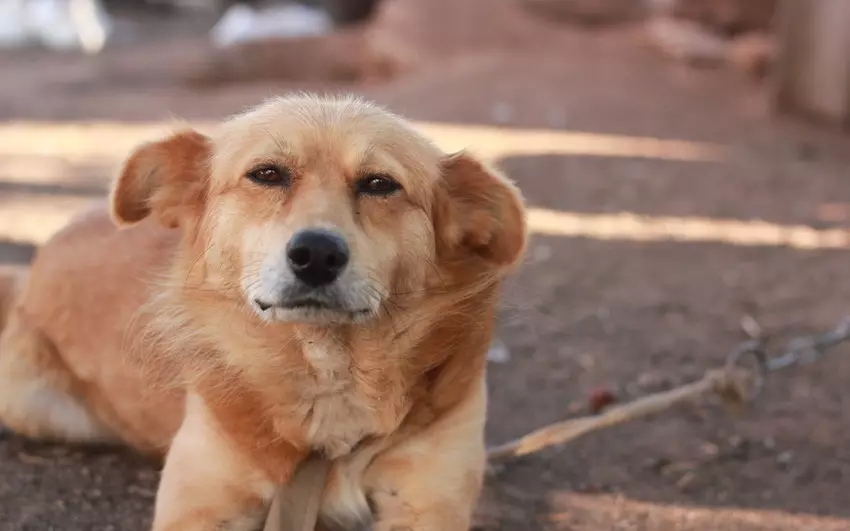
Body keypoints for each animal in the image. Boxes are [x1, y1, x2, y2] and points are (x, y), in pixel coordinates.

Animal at [0, 95, 524, 531]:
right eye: (267, 174)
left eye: (380, 184)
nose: (317, 254)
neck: (328, 375)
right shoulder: (199, 505)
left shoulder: (427, 503)